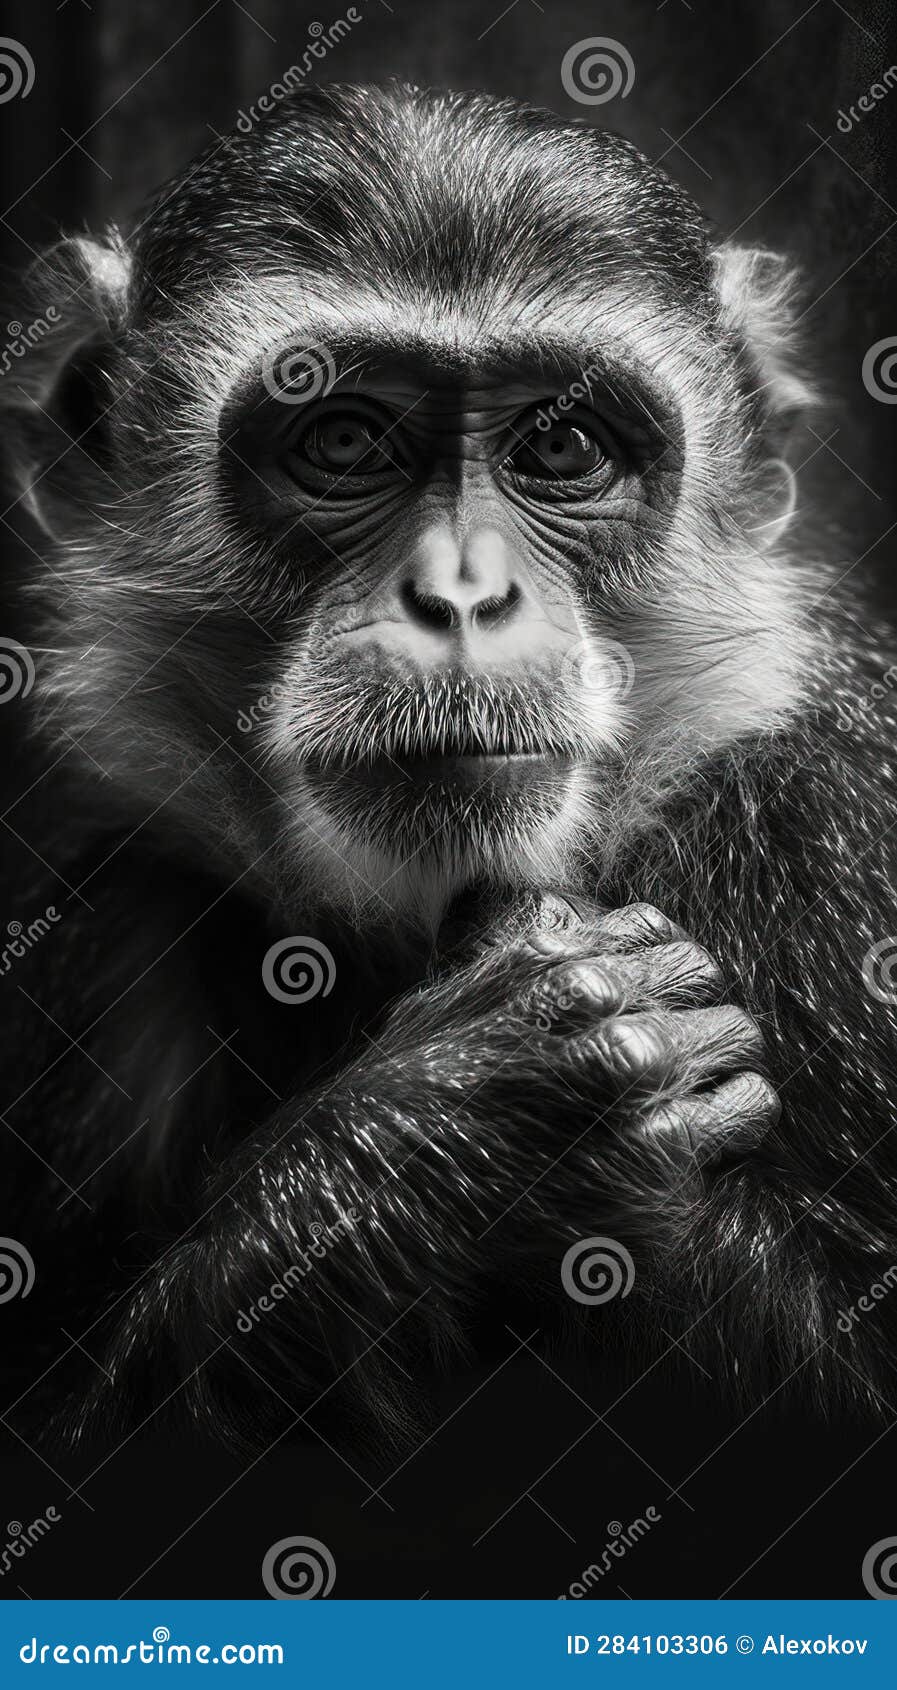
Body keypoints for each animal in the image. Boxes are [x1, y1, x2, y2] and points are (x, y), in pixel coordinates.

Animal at [3, 80, 897, 1470]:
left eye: (563, 443)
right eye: (344, 437)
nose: (462, 594)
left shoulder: (818, 832)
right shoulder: (110, 937)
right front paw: (458, 1132)